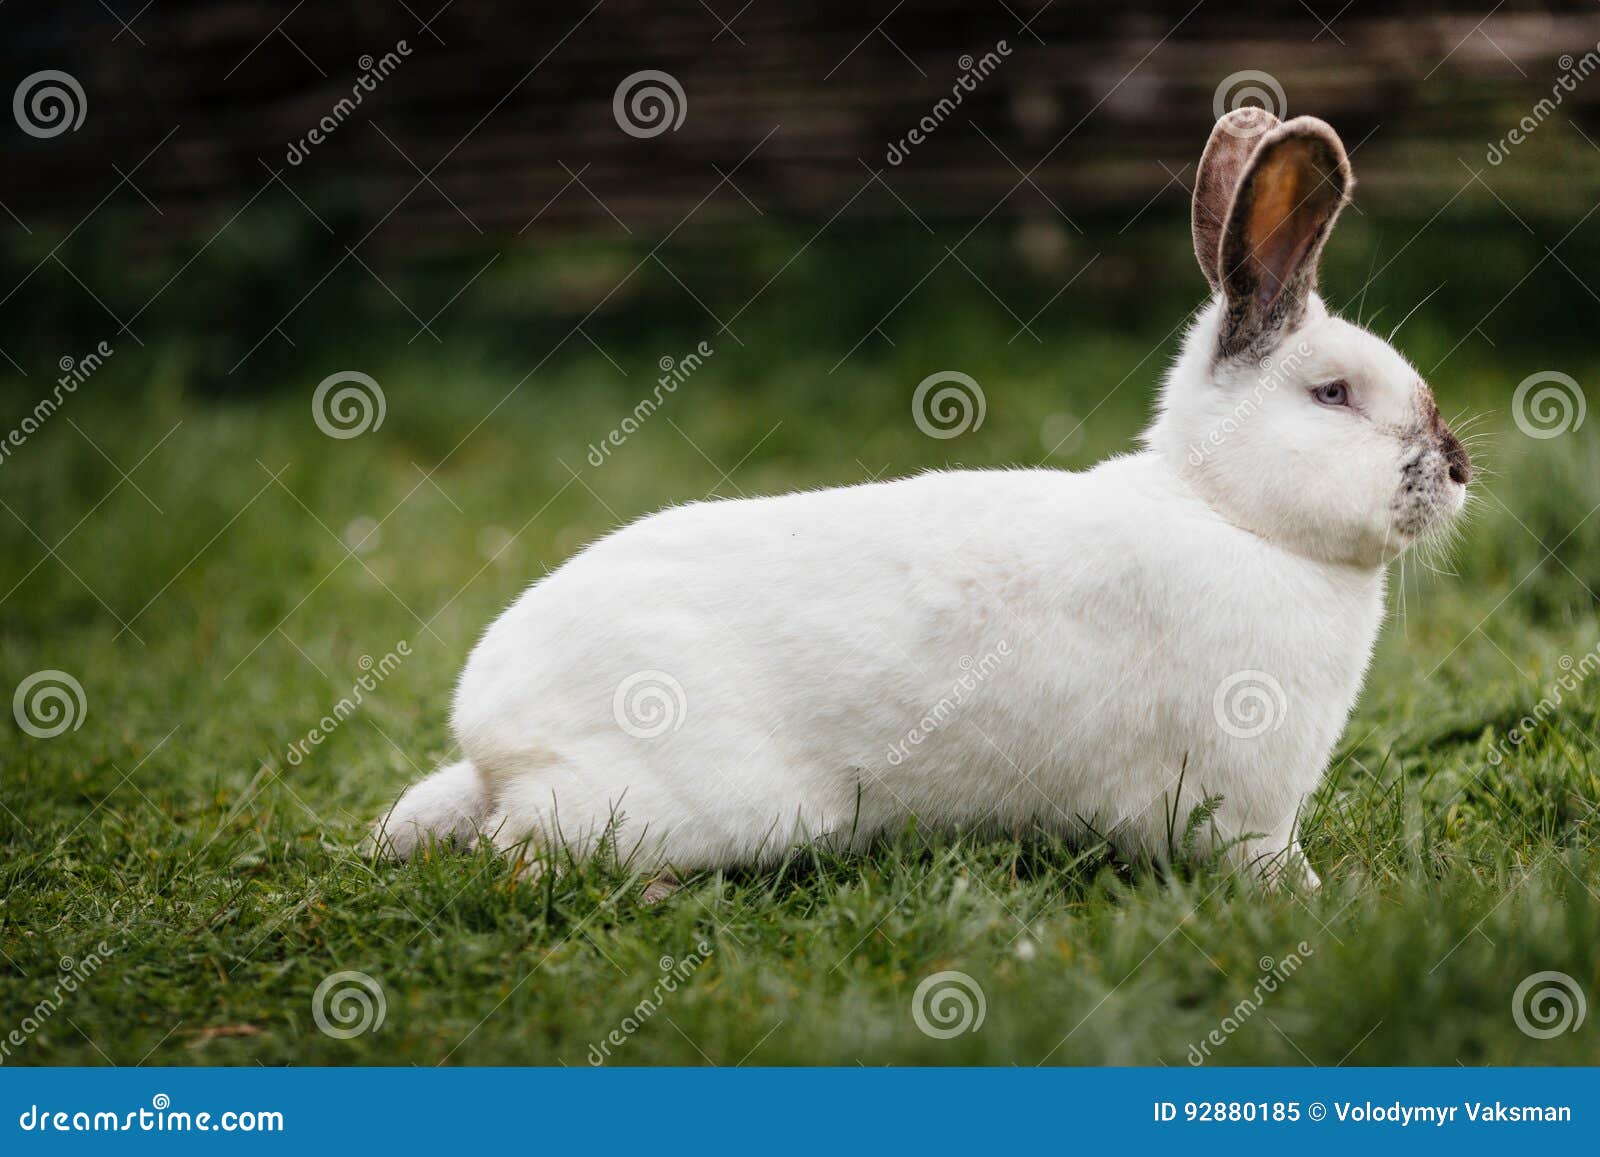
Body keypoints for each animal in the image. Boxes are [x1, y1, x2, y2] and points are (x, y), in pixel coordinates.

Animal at [372, 108, 1469, 890]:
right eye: (1333, 394)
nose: (1457, 468)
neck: (1226, 511)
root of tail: (490, 725)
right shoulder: (1244, 807)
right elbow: (1265, 861)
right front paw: (1315, 900)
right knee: (519, 859)